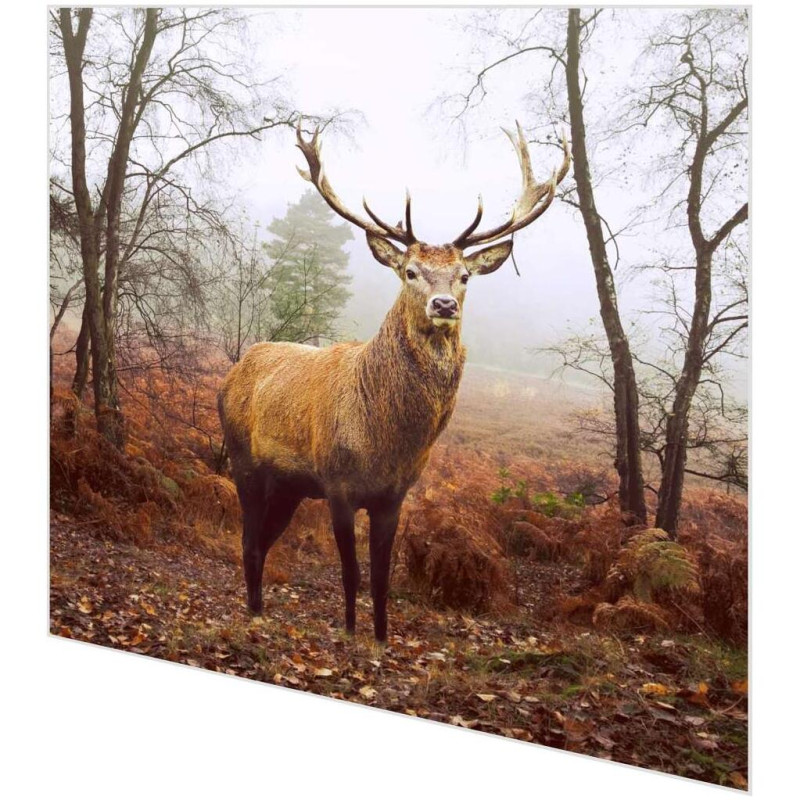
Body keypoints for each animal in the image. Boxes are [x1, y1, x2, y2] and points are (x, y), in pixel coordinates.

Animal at [218, 121, 570, 641]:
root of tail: (233, 372)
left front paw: (381, 638)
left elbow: (382, 577)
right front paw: (349, 633)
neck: (386, 440)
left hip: (289, 486)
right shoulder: (338, 485)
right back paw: (253, 612)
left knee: (262, 541)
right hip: (244, 463)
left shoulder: (394, 496)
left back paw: (260, 609)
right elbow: (351, 573)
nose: (444, 305)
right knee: (246, 540)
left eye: (464, 275)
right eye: (410, 271)